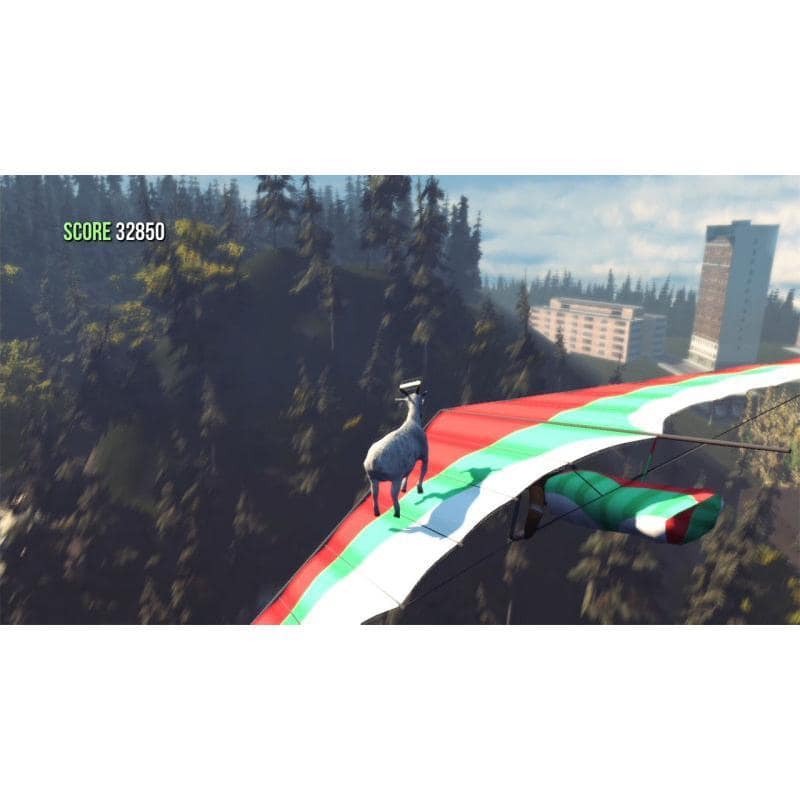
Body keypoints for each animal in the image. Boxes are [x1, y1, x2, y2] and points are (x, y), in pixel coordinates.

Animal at [363, 380, 429, 518]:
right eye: (421, 400)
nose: (421, 414)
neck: (412, 421)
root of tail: (372, 463)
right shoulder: (425, 454)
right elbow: (423, 471)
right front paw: (420, 489)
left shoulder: (408, 464)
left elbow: (408, 473)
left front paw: (405, 488)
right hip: (394, 477)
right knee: (392, 494)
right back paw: (397, 512)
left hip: (373, 479)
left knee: (374, 494)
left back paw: (377, 512)